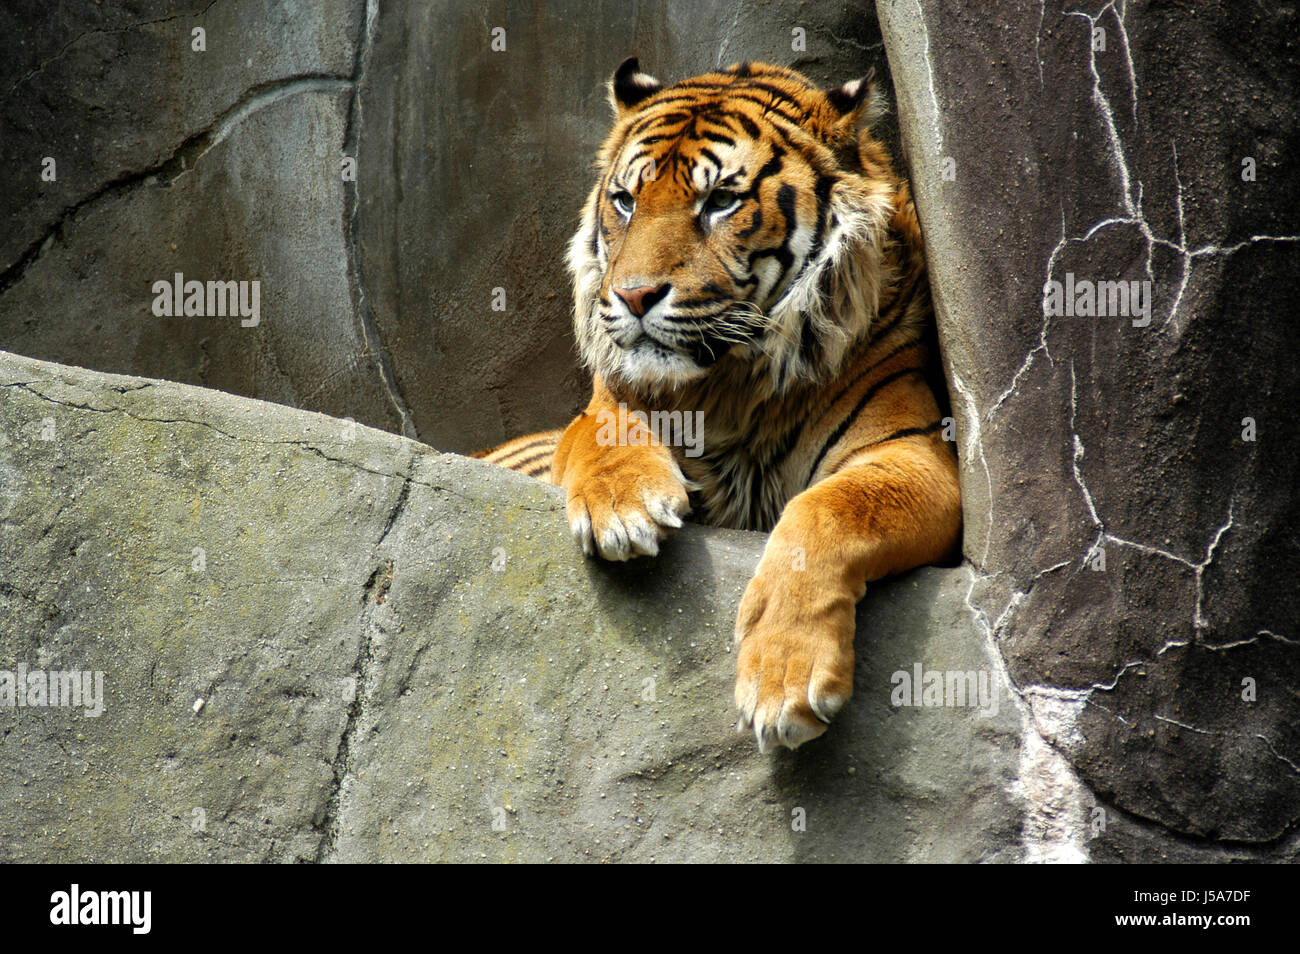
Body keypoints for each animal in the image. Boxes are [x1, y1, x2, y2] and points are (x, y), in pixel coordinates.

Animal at [474, 58, 962, 752]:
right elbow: (603, 436)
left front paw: (785, 680)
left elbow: (830, 510)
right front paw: (623, 511)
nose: (633, 295)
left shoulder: (913, 453)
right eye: (625, 201)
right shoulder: (599, 408)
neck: (731, 387)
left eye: (721, 202)